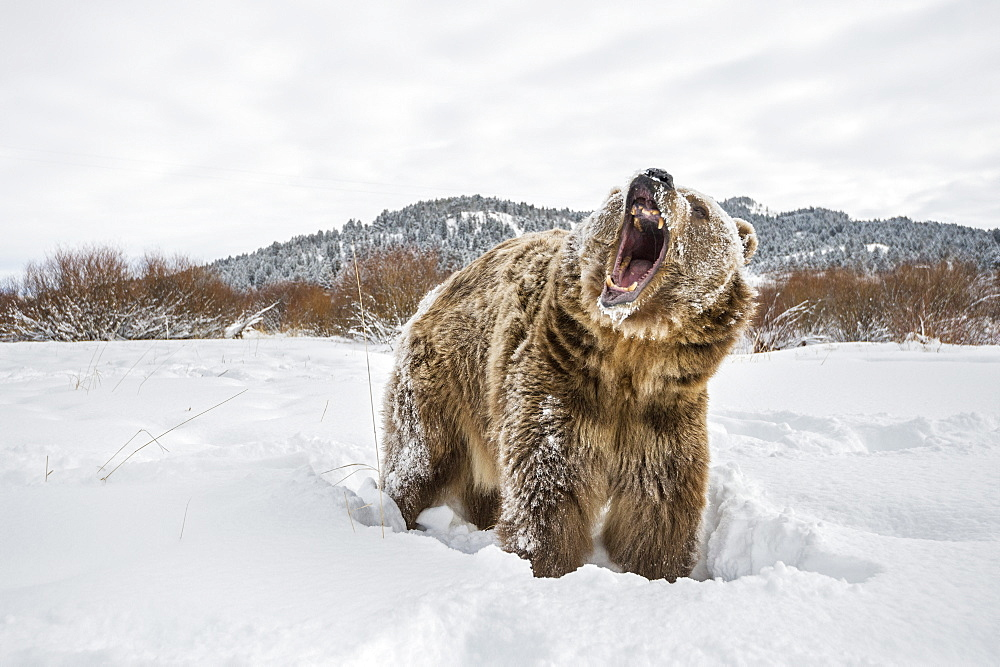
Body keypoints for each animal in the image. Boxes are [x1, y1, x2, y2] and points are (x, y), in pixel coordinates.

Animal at [378, 170, 752, 580]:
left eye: (701, 209)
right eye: (616, 193)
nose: (655, 175)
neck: (630, 355)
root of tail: (434, 294)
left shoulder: (665, 412)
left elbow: (659, 501)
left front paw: (657, 570)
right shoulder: (558, 383)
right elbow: (550, 487)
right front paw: (545, 563)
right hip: (444, 376)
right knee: (420, 455)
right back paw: (395, 514)